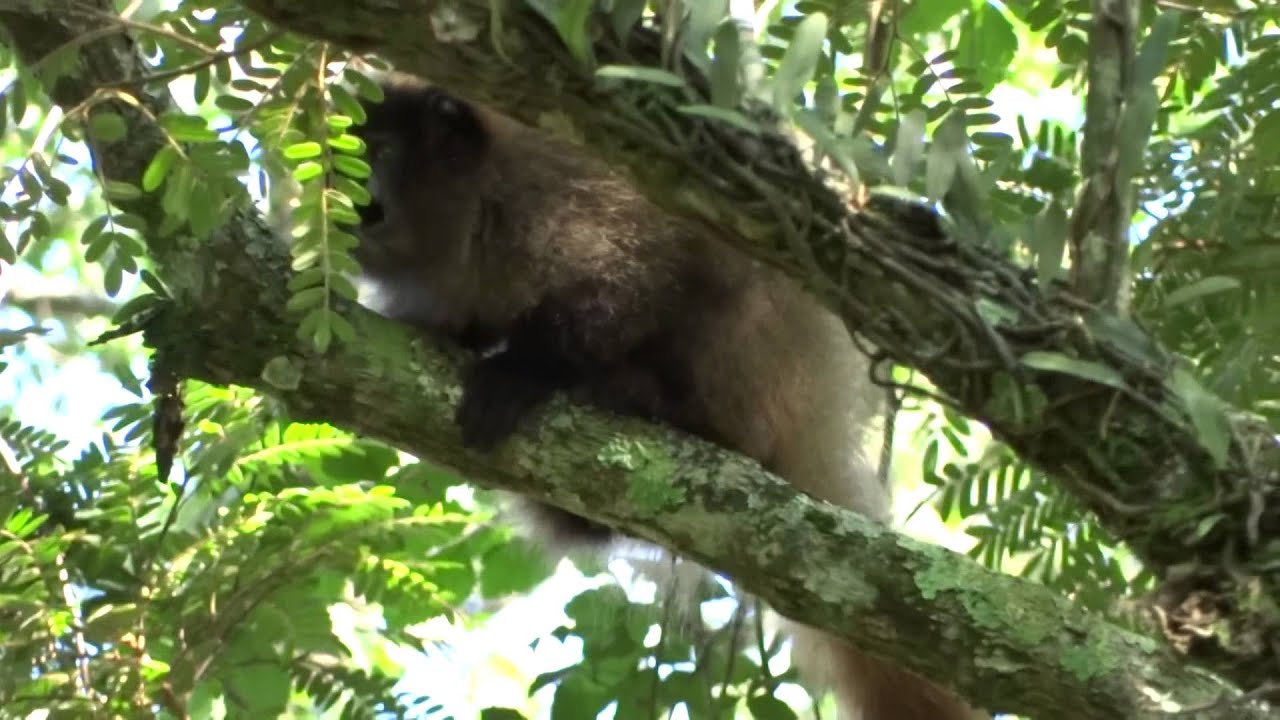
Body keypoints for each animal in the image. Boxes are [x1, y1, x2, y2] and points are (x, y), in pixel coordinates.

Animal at [349, 71, 982, 720]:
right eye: (354, 144)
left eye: (382, 151)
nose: (357, 190)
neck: (473, 203)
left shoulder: (559, 188)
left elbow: (631, 273)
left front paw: (523, 370)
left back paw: (651, 401)